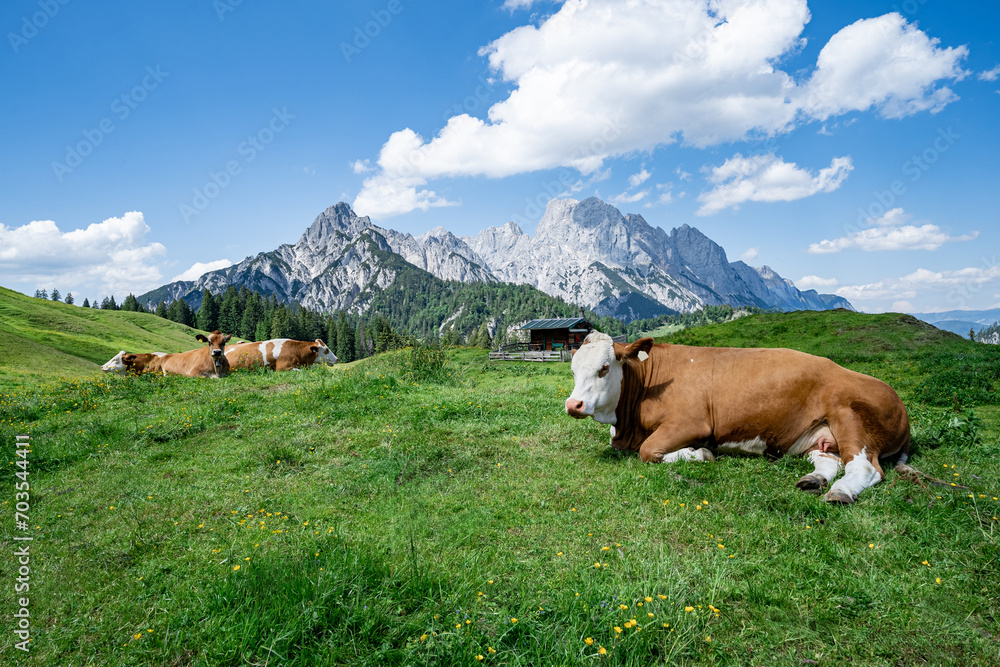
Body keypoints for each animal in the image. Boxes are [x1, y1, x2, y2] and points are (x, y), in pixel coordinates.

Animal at [564, 332, 913, 504]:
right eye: (573, 370)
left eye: (604, 368)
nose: (573, 404)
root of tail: (895, 397)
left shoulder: (692, 423)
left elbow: (648, 451)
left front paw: (700, 454)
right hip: (818, 437)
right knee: (831, 461)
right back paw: (813, 480)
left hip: (850, 417)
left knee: (865, 468)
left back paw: (840, 492)